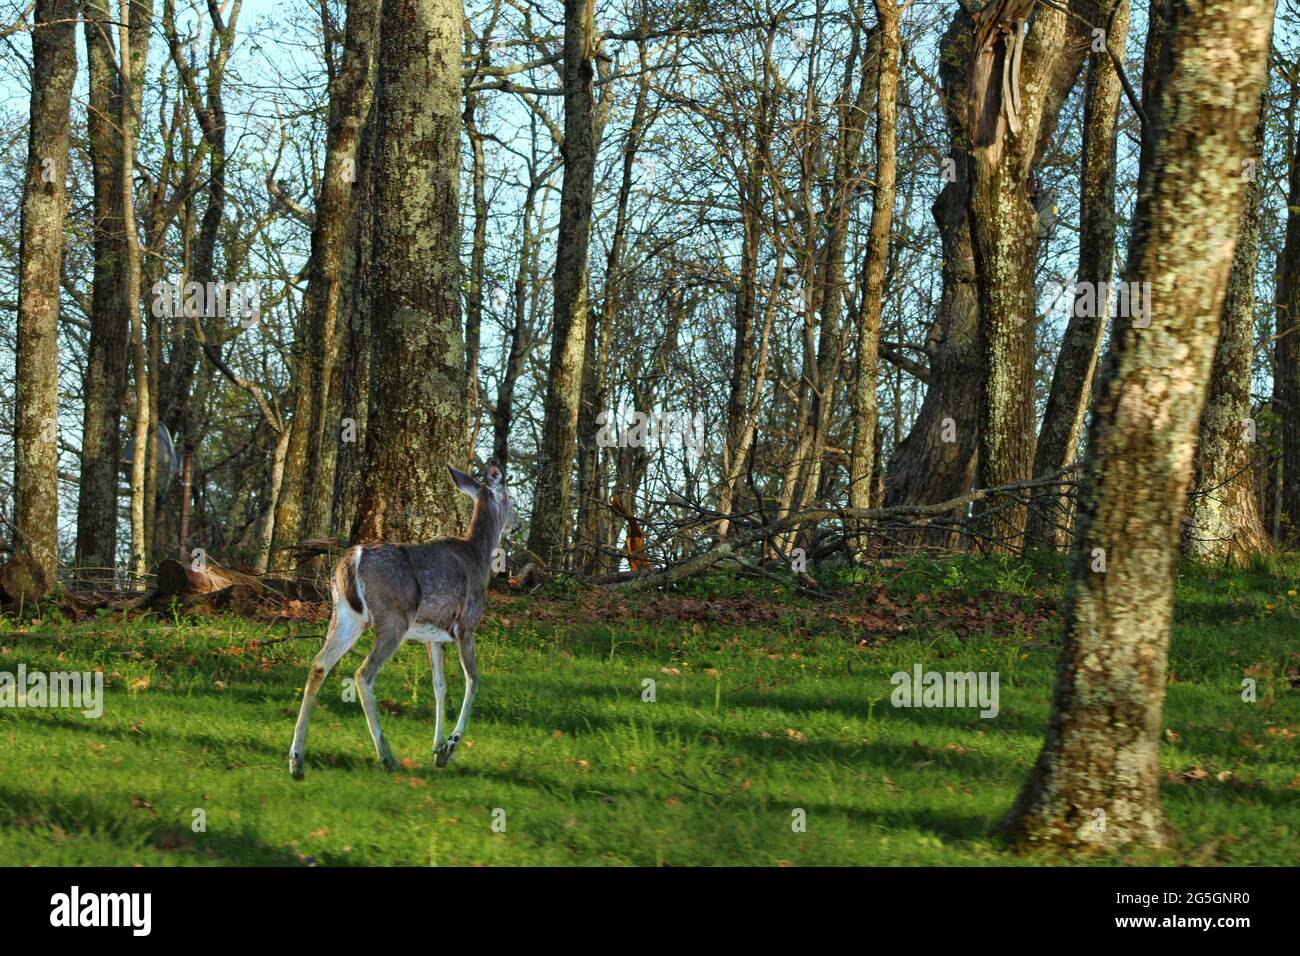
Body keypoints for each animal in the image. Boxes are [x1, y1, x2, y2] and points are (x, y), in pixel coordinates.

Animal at [288, 462, 518, 779]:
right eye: (510, 499)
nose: (518, 525)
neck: (479, 557)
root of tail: (351, 559)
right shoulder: (466, 624)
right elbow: (472, 680)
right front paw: (450, 746)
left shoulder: (433, 636)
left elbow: (439, 684)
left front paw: (437, 748)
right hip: (392, 619)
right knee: (363, 673)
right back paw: (386, 757)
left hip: (346, 616)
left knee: (320, 663)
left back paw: (296, 760)